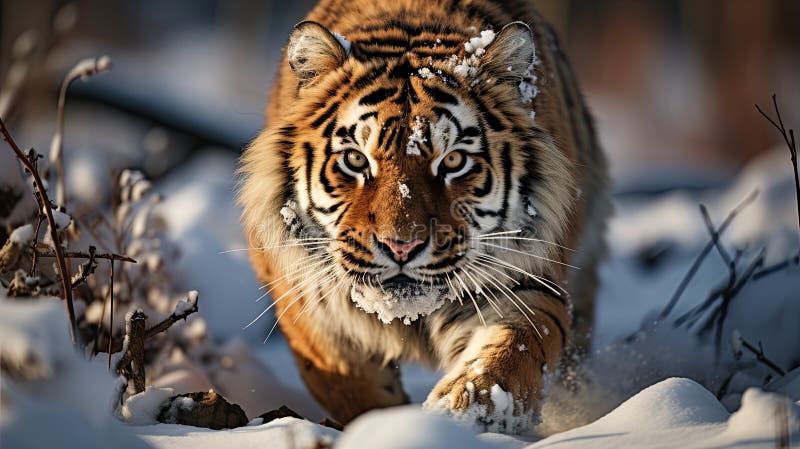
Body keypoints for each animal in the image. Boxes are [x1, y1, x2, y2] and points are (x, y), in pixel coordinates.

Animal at [238, 0, 610, 434]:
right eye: (355, 160)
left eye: (453, 161)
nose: (402, 245)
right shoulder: (309, 304)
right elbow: (353, 388)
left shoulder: (527, 281)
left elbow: (509, 354)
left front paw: (460, 415)